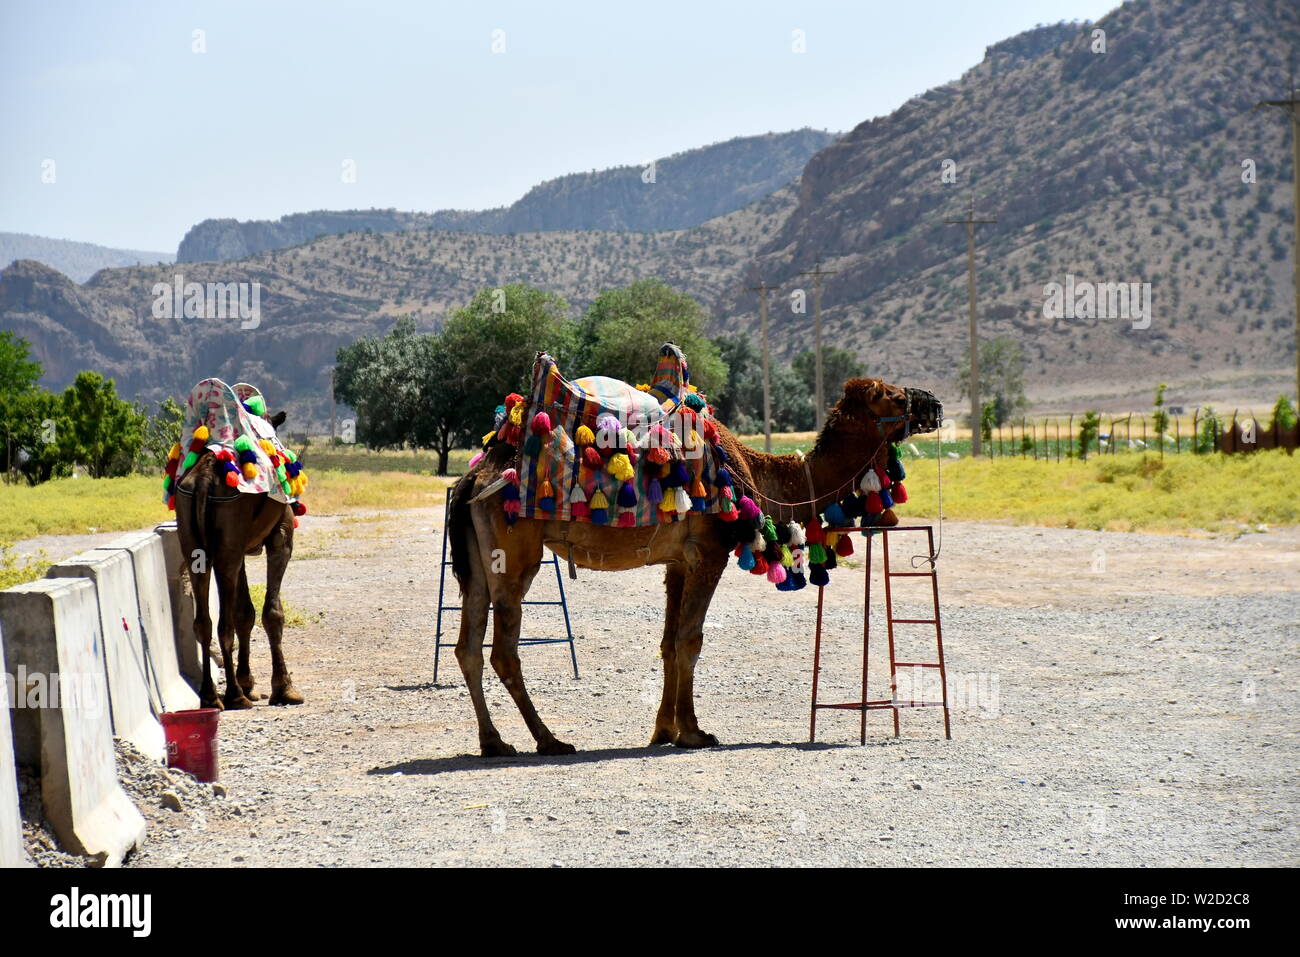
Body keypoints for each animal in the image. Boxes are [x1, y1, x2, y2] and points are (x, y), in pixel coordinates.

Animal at [174, 410, 304, 711]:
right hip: (229, 538)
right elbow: (272, 612)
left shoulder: (241, 547)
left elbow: (245, 612)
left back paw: (211, 695)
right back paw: (234, 694)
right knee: (224, 623)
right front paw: (284, 688)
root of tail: (204, 477)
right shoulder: (281, 536)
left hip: (198, 543)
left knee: (204, 621)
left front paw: (249, 681)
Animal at [448, 376, 941, 755]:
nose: (933, 405)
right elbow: (690, 641)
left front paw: (663, 730)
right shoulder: (709, 553)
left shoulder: (677, 563)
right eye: (894, 397)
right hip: (515, 555)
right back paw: (548, 741)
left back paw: (494, 742)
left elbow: (668, 643)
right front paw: (693, 732)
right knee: (503, 650)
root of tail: (474, 477)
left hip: (477, 563)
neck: (757, 476)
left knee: (467, 646)